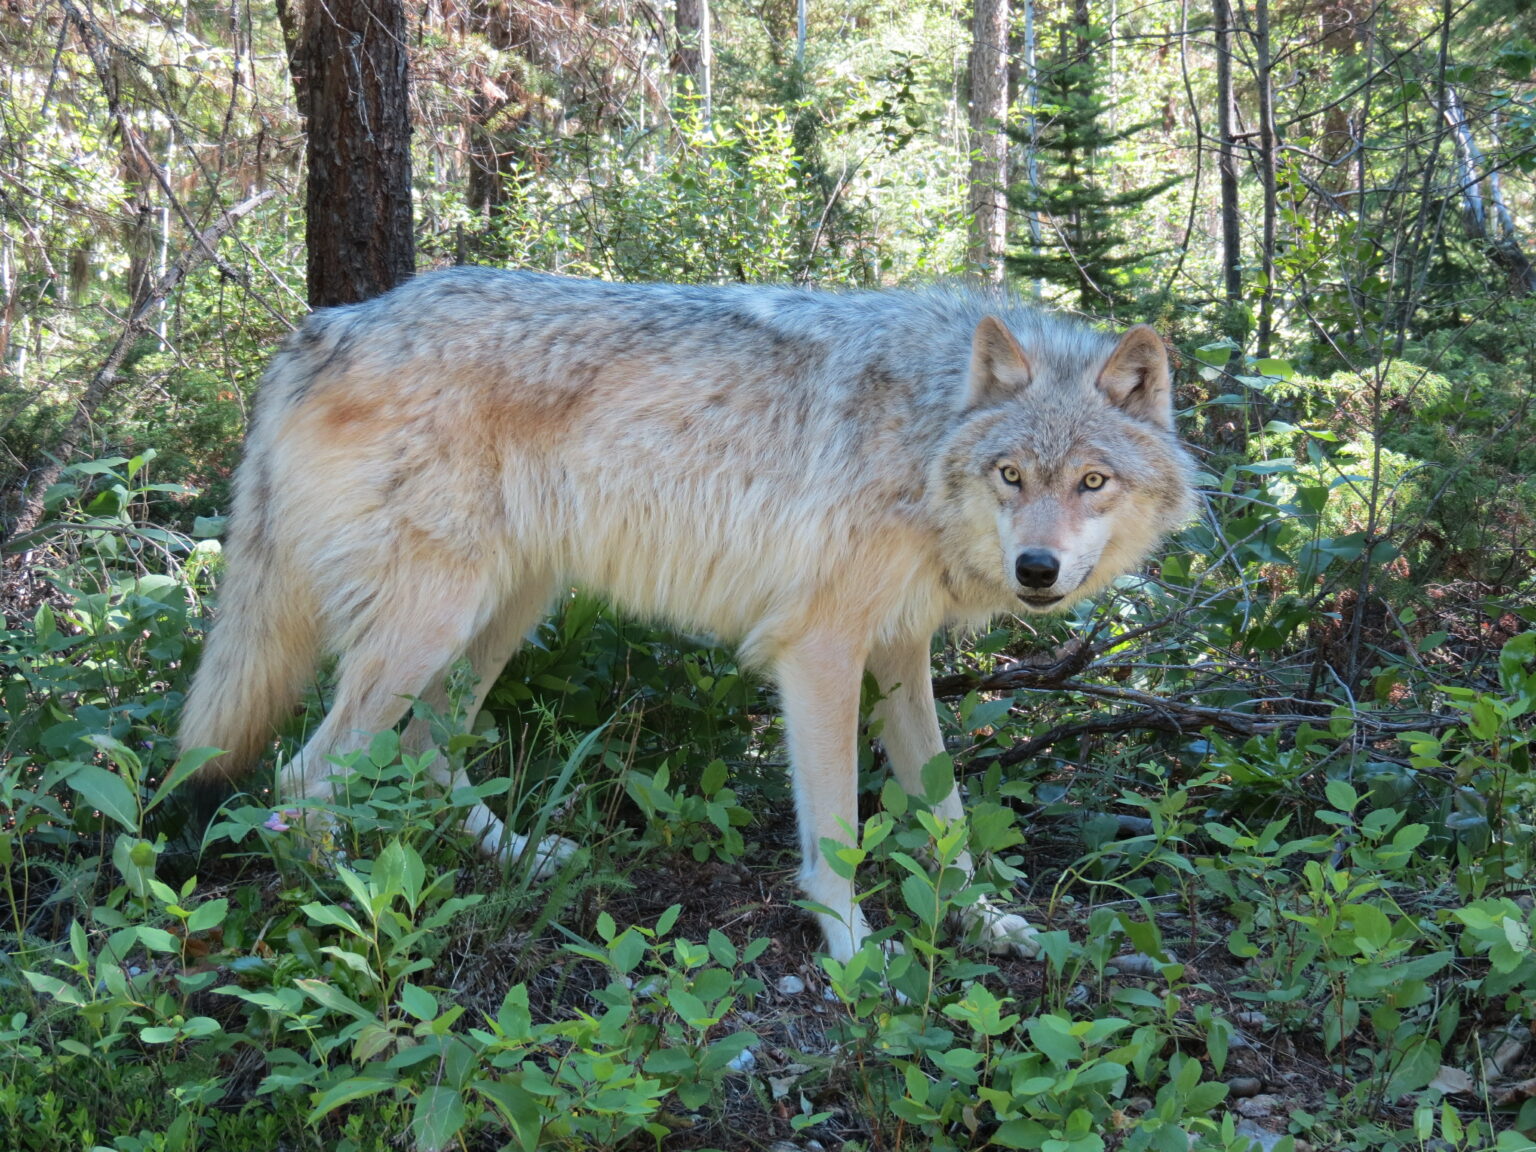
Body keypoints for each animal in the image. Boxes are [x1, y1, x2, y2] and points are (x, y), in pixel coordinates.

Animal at [179, 267, 1196, 962]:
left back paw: (521, 858)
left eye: (1091, 481)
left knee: (430, 756)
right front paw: (855, 954)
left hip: (500, 615)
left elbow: (947, 821)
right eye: (1011, 474)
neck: (923, 431)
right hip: (432, 625)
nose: (1037, 570)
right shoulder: (819, 654)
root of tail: (325, 324)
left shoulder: (900, 660)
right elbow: (837, 833)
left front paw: (989, 923)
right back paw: (347, 925)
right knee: (301, 783)